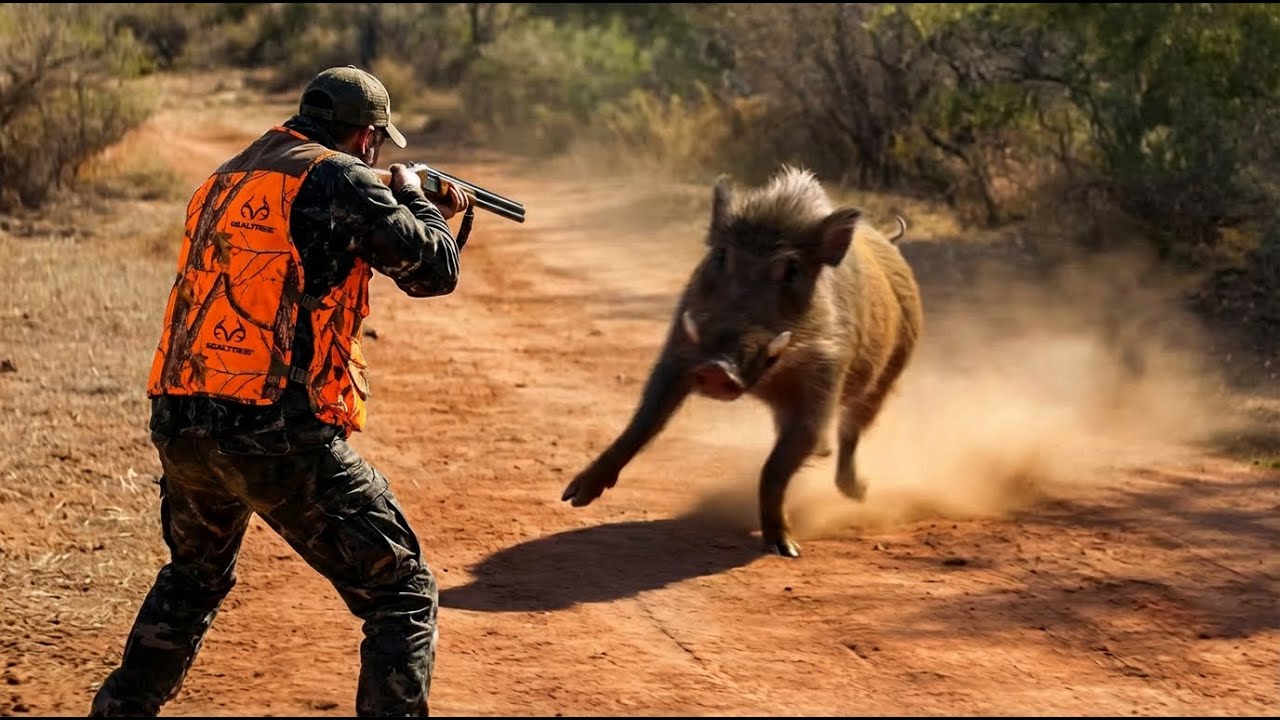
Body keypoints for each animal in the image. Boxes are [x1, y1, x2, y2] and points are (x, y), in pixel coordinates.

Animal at [561, 165, 923, 558]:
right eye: (721, 256)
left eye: (792, 270)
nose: (716, 367)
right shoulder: (678, 350)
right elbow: (643, 421)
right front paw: (573, 497)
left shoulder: (825, 377)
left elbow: (777, 465)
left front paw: (786, 549)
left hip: (888, 376)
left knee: (851, 430)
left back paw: (859, 491)